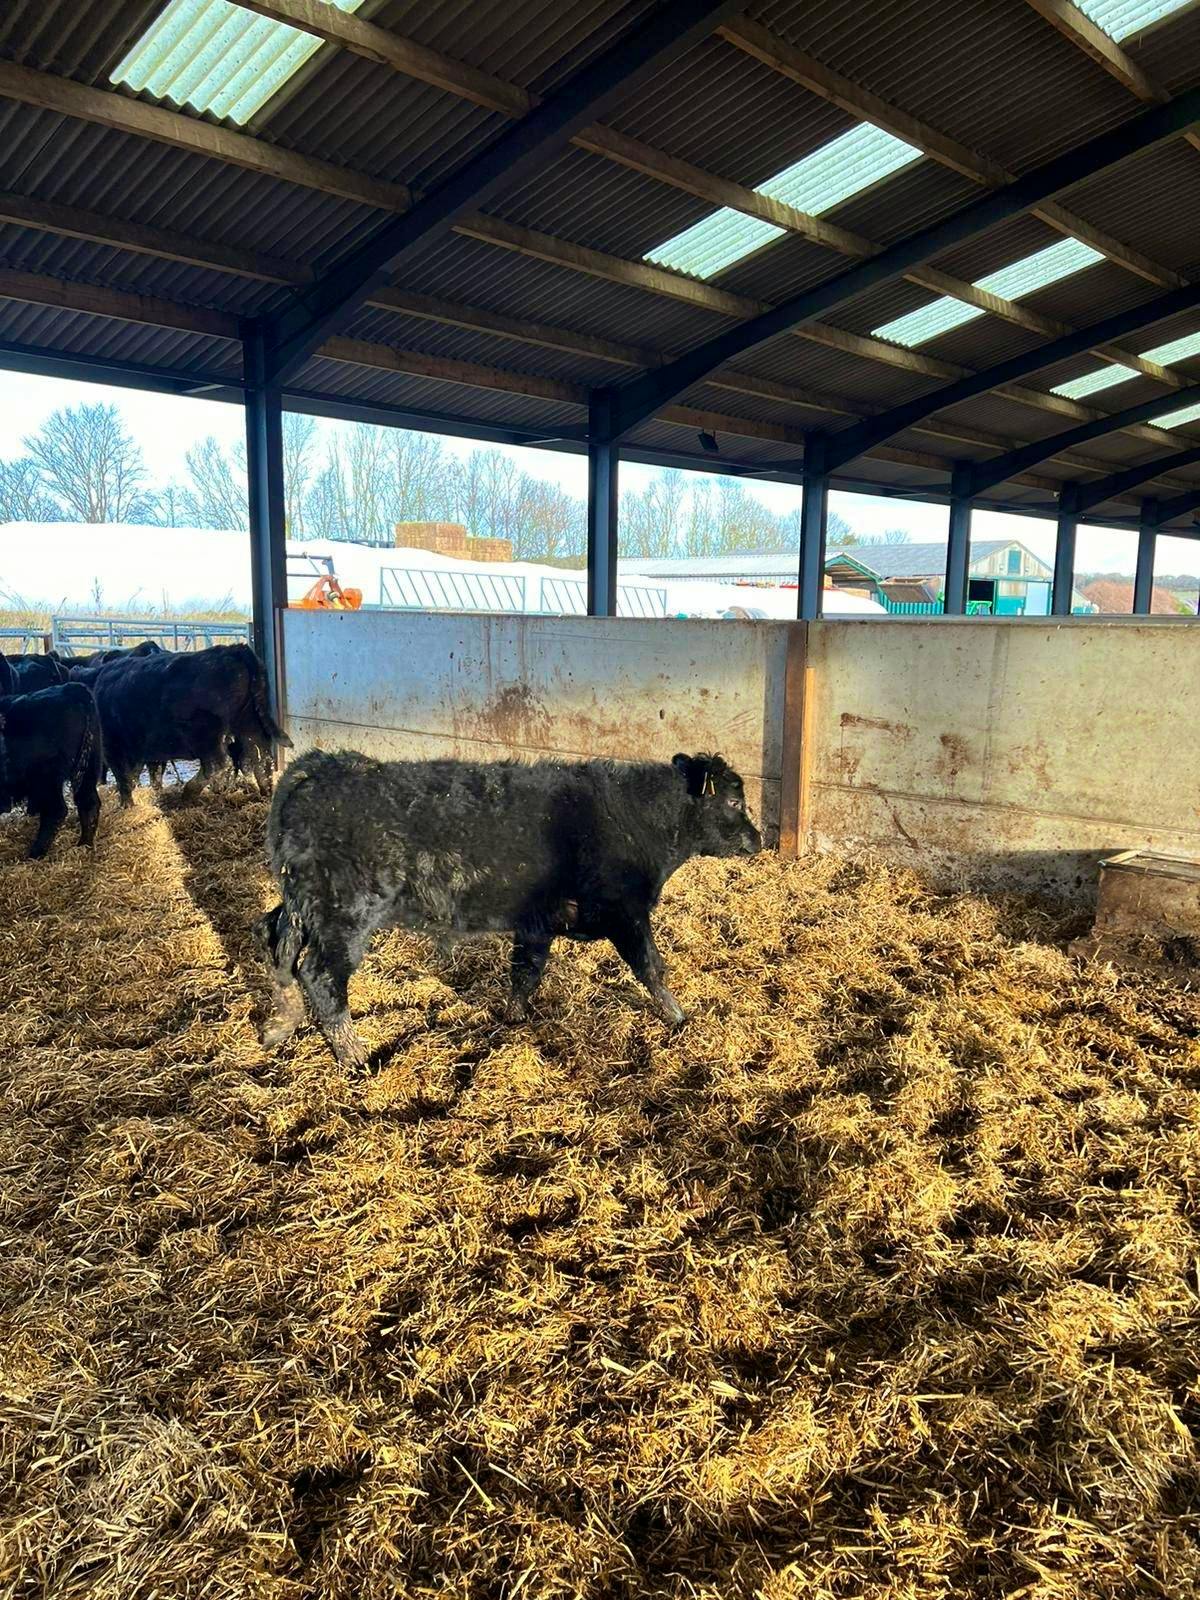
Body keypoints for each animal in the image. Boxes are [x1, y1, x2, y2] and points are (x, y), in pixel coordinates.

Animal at [0, 682, 103, 858]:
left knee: (56, 811)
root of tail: (68, 688)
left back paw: (35, 854)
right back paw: (84, 845)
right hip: (89, 765)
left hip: (44, 779)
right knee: (88, 802)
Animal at [92, 643, 290, 804]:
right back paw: (266, 793)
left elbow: (124, 778)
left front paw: (126, 805)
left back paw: (189, 793)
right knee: (261, 756)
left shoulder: (112, 747)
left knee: (218, 764)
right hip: (248, 722)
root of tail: (233, 649)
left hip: (207, 733)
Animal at [255, 749, 762, 1067]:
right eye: (734, 800)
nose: (757, 841)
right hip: (345, 913)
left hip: (303, 905)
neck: (635, 819)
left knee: (275, 937)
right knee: (319, 974)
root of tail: (320, 766)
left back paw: (279, 1025)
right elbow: (652, 967)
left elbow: (526, 972)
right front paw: (680, 1018)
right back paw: (355, 1055)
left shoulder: (537, 922)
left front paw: (514, 1020)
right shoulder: (627, 913)